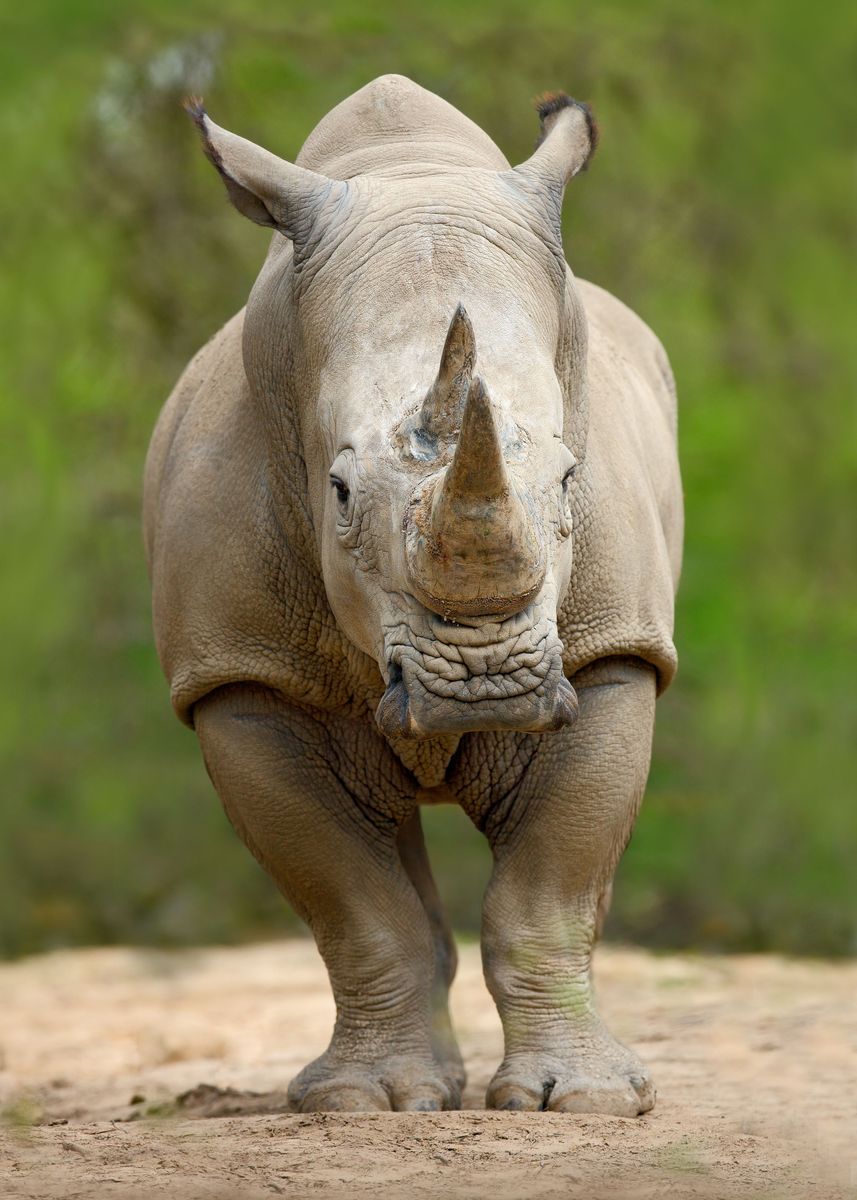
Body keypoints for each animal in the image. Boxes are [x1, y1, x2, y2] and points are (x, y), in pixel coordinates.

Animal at [144, 74, 682, 1115]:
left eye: (568, 481)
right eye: (340, 493)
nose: (486, 688)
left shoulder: (611, 646)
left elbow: (547, 896)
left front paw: (583, 1102)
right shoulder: (241, 675)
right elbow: (354, 906)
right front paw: (366, 1103)